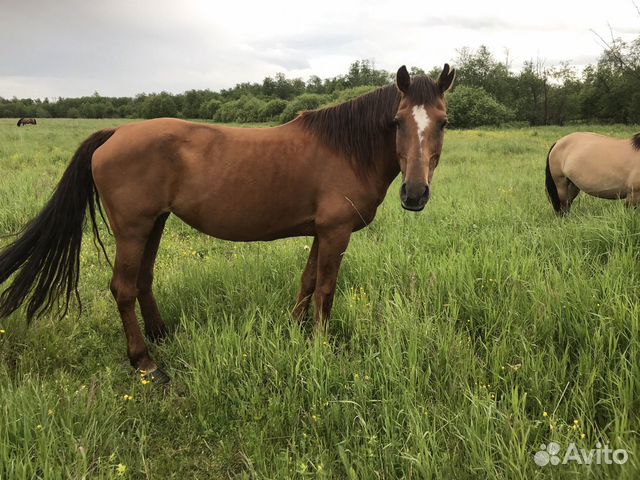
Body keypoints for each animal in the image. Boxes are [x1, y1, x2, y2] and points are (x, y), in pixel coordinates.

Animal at [0, 64, 456, 382]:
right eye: (396, 122)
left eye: (444, 122)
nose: (415, 194)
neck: (346, 149)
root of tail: (115, 133)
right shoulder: (335, 233)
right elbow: (326, 289)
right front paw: (319, 346)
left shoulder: (320, 232)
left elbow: (308, 282)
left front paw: (294, 332)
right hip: (132, 229)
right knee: (123, 288)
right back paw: (145, 362)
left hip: (155, 224)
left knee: (143, 279)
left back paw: (161, 334)